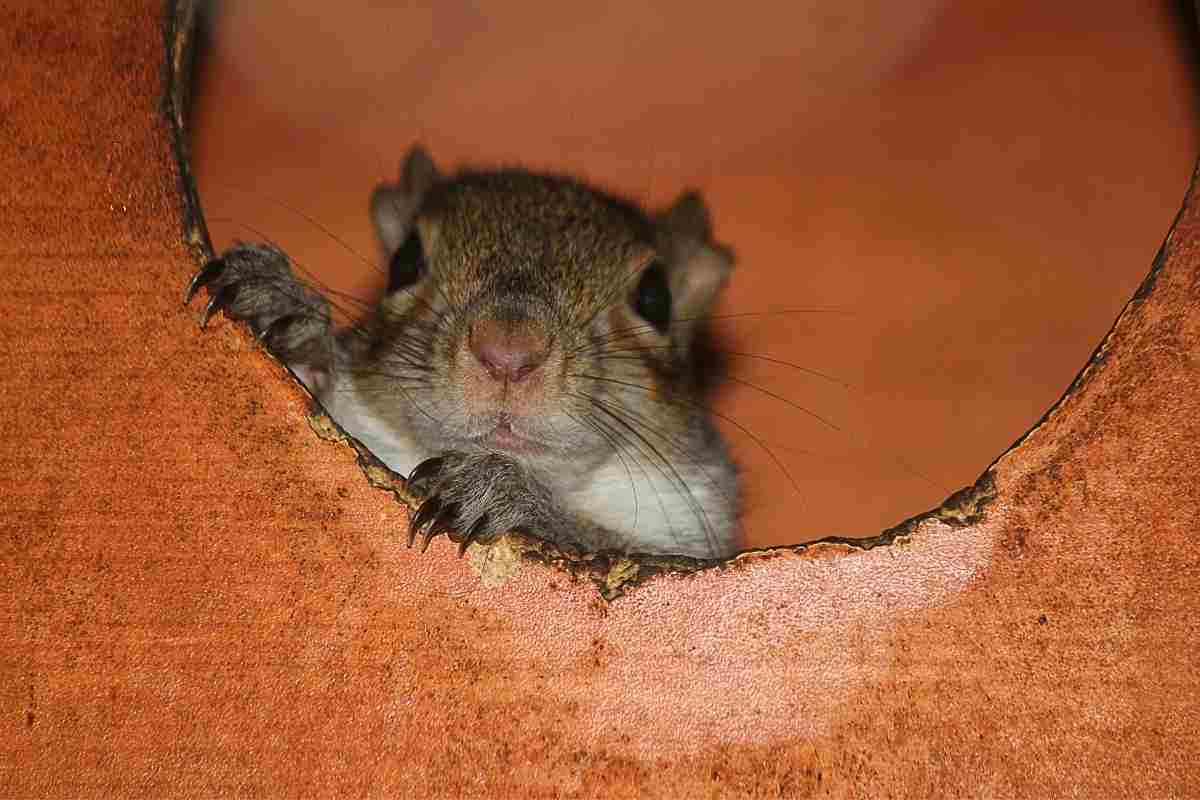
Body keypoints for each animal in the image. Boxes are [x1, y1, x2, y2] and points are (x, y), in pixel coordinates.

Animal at [186, 146, 739, 559]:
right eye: (404, 261)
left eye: (656, 297)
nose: (508, 351)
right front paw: (290, 318)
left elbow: (610, 546)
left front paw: (508, 493)